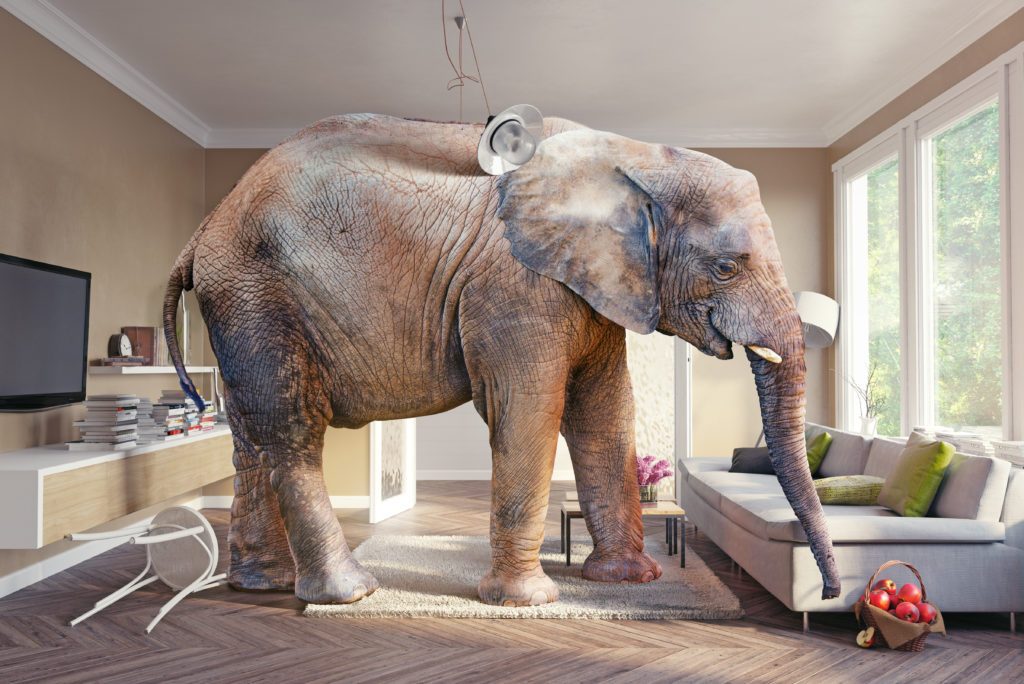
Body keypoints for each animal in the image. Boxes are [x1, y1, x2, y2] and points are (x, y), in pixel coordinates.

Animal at [163, 113, 841, 606]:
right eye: (726, 268)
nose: (833, 592)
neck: (634, 155)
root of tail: (202, 231)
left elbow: (604, 413)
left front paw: (629, 581)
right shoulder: (515, 287)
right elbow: (530, 409)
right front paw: (527, 603)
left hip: (241, 302)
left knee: (250, 436)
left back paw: (263, 585)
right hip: (257, 292)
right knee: (291, 427)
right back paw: (349, 593)